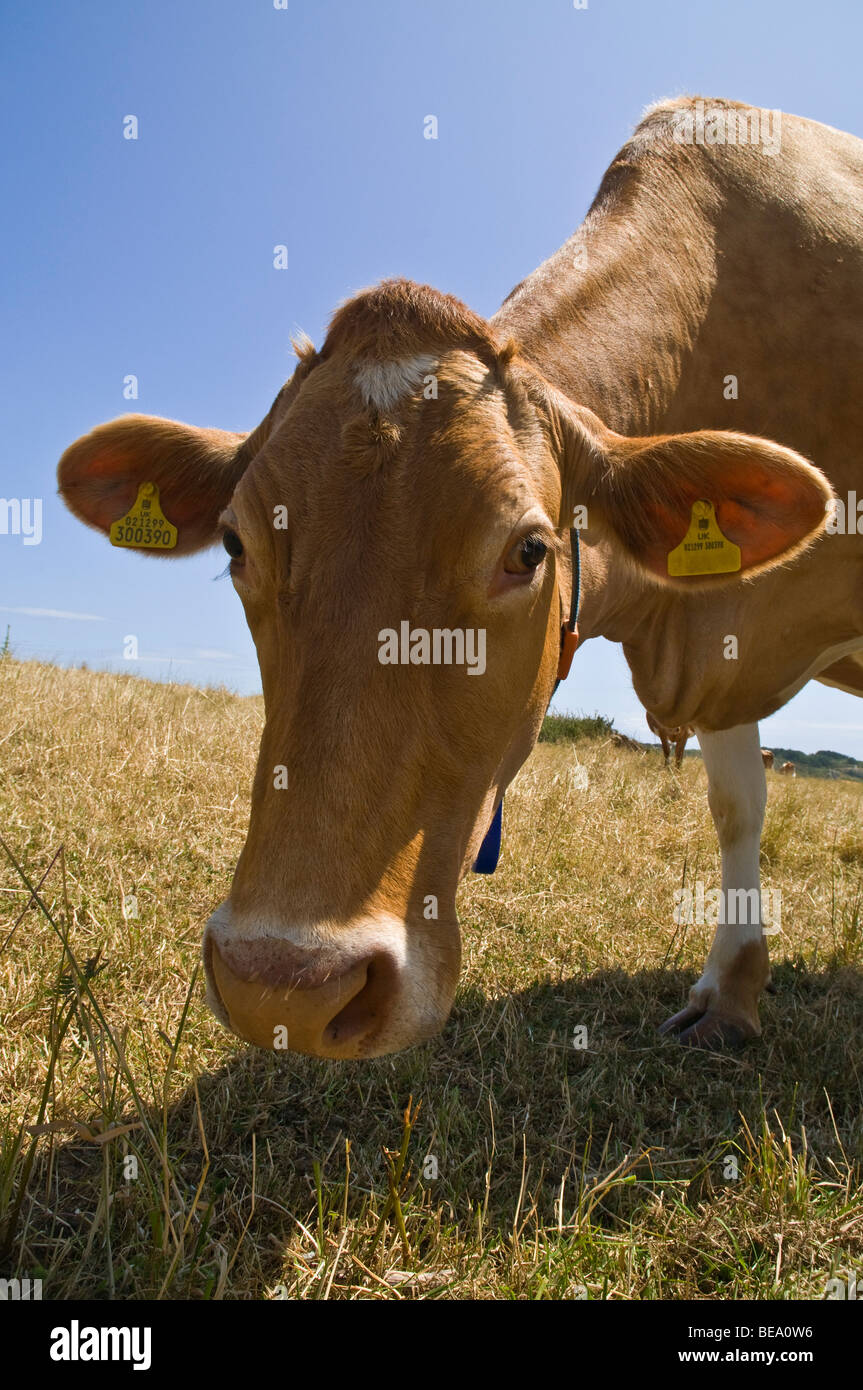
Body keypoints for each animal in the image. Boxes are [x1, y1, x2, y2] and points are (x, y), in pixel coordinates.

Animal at [57, 97, 862, 1057]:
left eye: (528, 552)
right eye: (234, 544)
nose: (280, 987)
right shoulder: (720, 641)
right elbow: (736, 803)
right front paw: (730, 994)